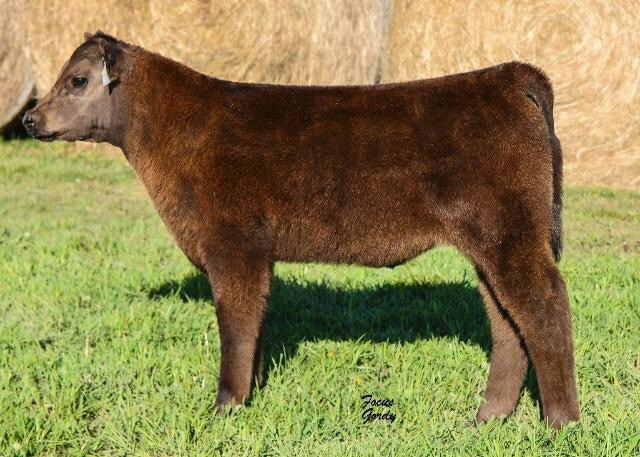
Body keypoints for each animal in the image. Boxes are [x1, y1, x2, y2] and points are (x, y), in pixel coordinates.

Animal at [23, 31, 579, 427]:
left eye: (77, 80)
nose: (29, 120)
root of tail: (511, 75)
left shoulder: (234, 244)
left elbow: (235, 324)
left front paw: (225, 407)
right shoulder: (255, 254)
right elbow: (255, 326)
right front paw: (249, 394)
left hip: (511, 234)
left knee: (544, 307)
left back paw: (560, 423)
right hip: (489, 244)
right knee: (507, 323)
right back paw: (487, 419)